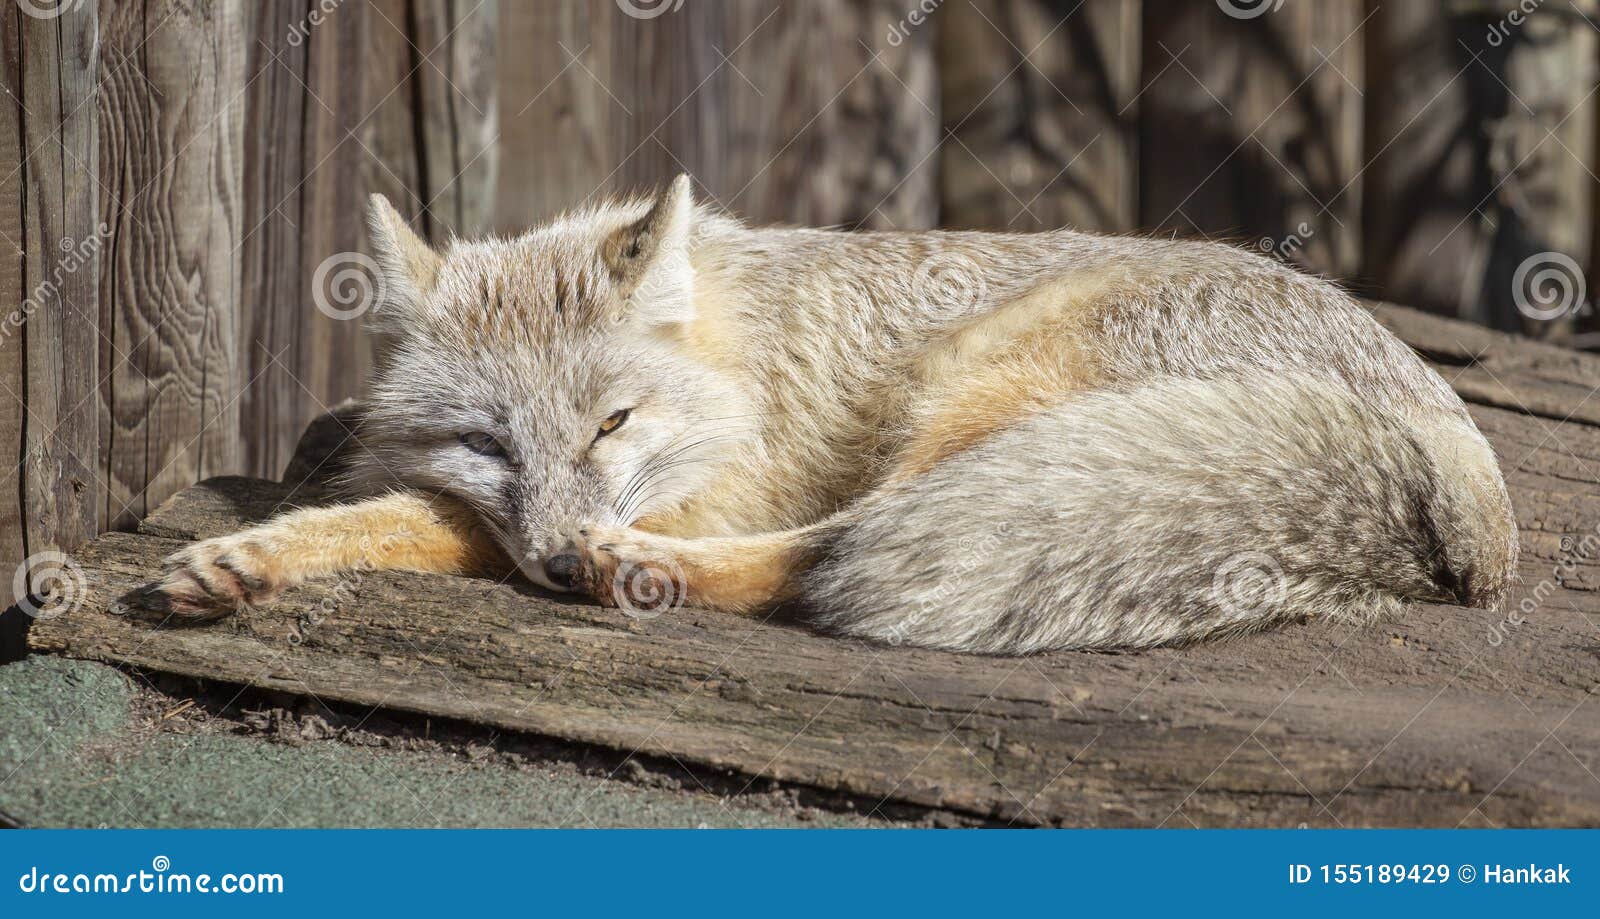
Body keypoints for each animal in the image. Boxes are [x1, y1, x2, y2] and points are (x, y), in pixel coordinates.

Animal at [148, 174, 1518, 654]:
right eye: (488, 440)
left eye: (610, 425)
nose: (559, 564)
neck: (738, 365)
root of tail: (1452, 455)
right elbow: (417, 500)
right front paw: (255, 548)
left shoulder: (706, 496)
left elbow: (424, 523)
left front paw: (261, 550)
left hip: (974, 379)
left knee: (831, 553)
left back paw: (641, 571)